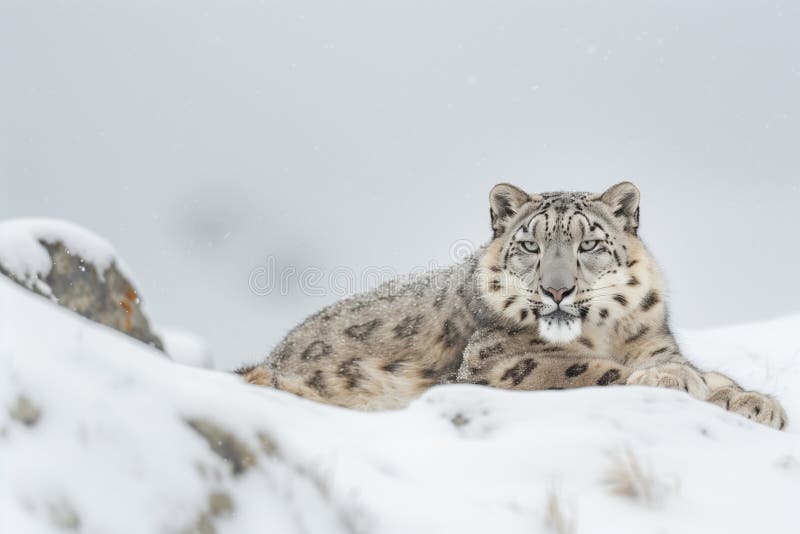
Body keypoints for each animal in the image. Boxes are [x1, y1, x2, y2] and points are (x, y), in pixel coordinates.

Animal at [237, 182, 787, 430]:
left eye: (589, 244)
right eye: (530, 245)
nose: (557, 290)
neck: (606, 333)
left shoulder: (653, 341)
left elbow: (703, 371)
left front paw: (756, 401)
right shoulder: (498, 363)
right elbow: (587, 370)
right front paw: (674, 383)